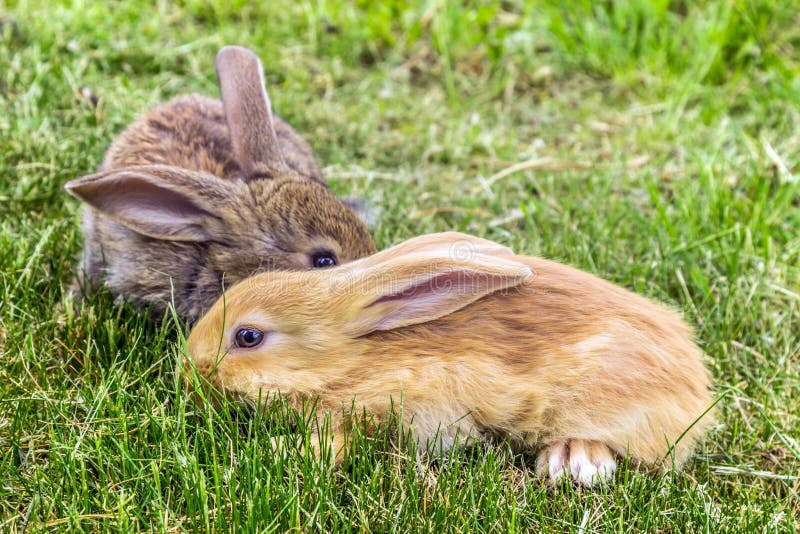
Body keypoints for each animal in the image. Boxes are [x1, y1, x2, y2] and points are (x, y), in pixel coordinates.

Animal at [185, 232, 715, 487]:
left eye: (247, 337)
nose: (189, 371)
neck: (354, 356)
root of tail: (695, 384)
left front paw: (280, 452)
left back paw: (572, 462)